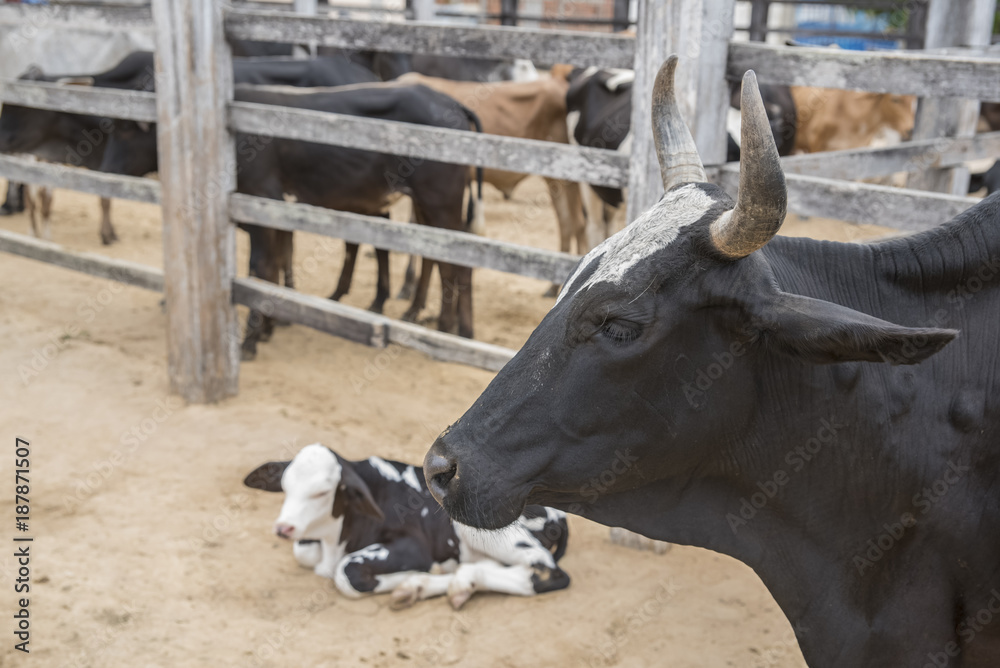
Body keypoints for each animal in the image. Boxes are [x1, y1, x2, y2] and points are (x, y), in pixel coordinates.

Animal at [243, 443, 570, 609]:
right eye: (285, 486)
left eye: (322, 492)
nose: (283, 528)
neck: (336, 539)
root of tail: (559, 511)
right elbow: (304, 553)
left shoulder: (415, 547)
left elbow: (347, 574)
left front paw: (410, 576)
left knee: (547, 571)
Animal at [395, 71, 585, 298]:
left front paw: (407, 285)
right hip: (557, 180)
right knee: (568, 222)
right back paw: (555, 286)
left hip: (566, 177)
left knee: (576, 222)